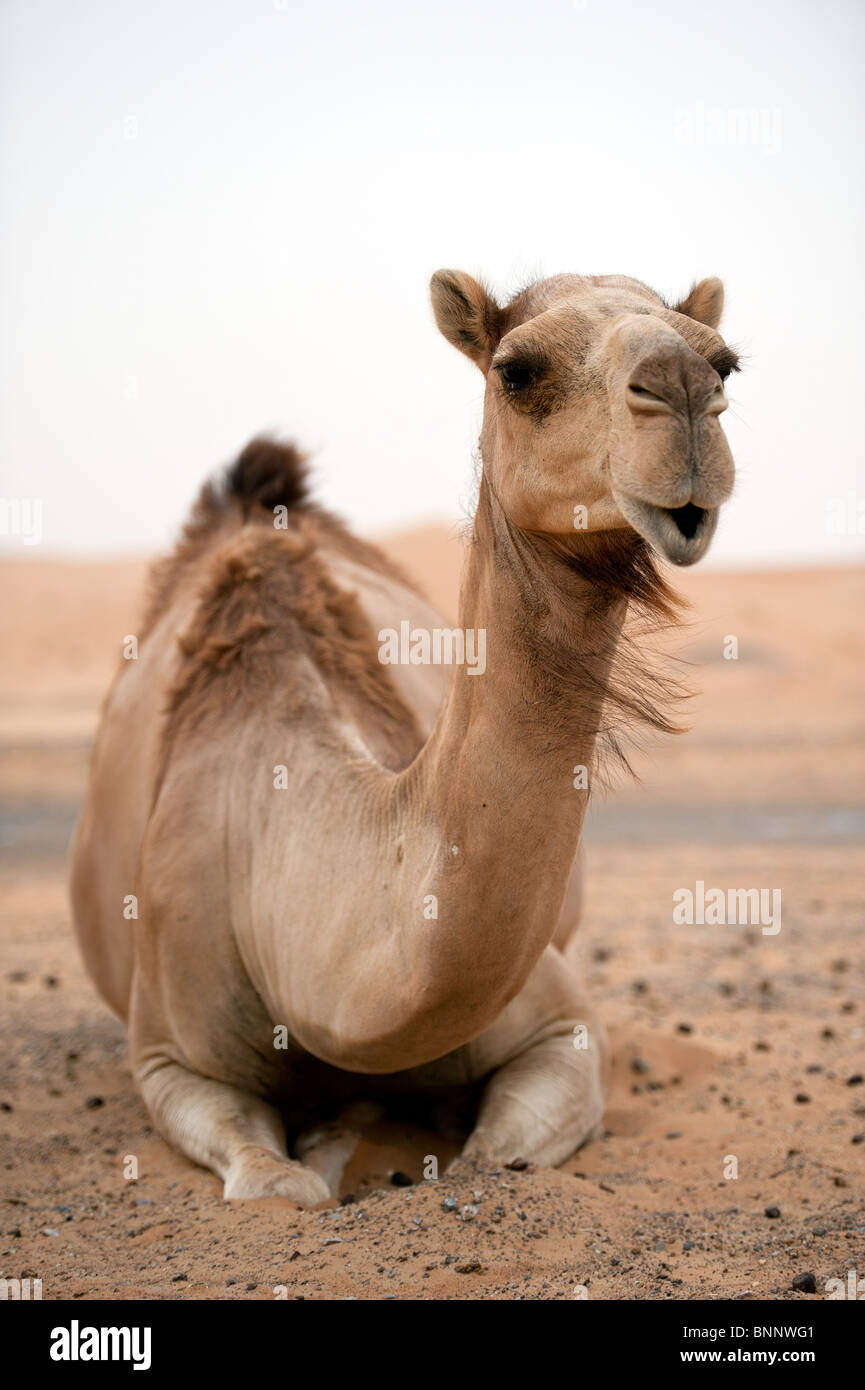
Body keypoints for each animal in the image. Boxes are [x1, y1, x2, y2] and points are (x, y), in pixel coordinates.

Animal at [70, 269, 739, 1204]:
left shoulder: (562, 1025)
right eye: (515, 370)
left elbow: (495, 1156)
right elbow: (279, 1185)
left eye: (728, 363)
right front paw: (329, 1143)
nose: (681, 389)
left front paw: (354, 1127)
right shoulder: (169, 1056)